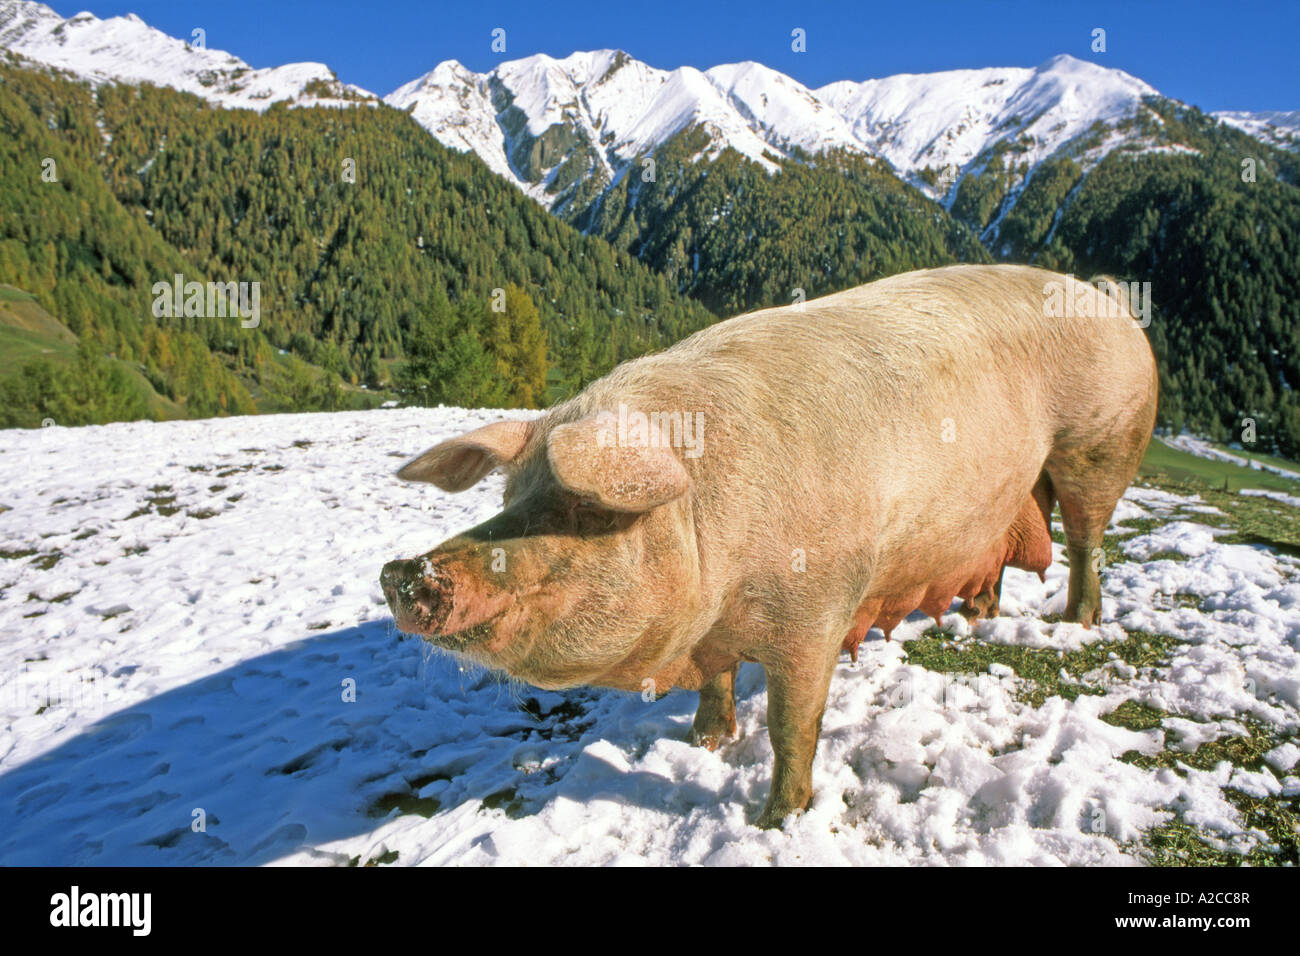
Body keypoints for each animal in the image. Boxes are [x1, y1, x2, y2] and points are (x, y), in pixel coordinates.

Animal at [380, 264, 1158, 828]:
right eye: (510, 498)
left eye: (582, 506)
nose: (401, 570)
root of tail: (1107, 296)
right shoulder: (718, 633)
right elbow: (719, 684)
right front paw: (703, 744)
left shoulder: (819, 609)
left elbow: (792, 723)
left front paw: (774, 822)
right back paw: (980, 616)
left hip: (1100, 445)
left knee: (1088, 538)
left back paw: (1075, 622)